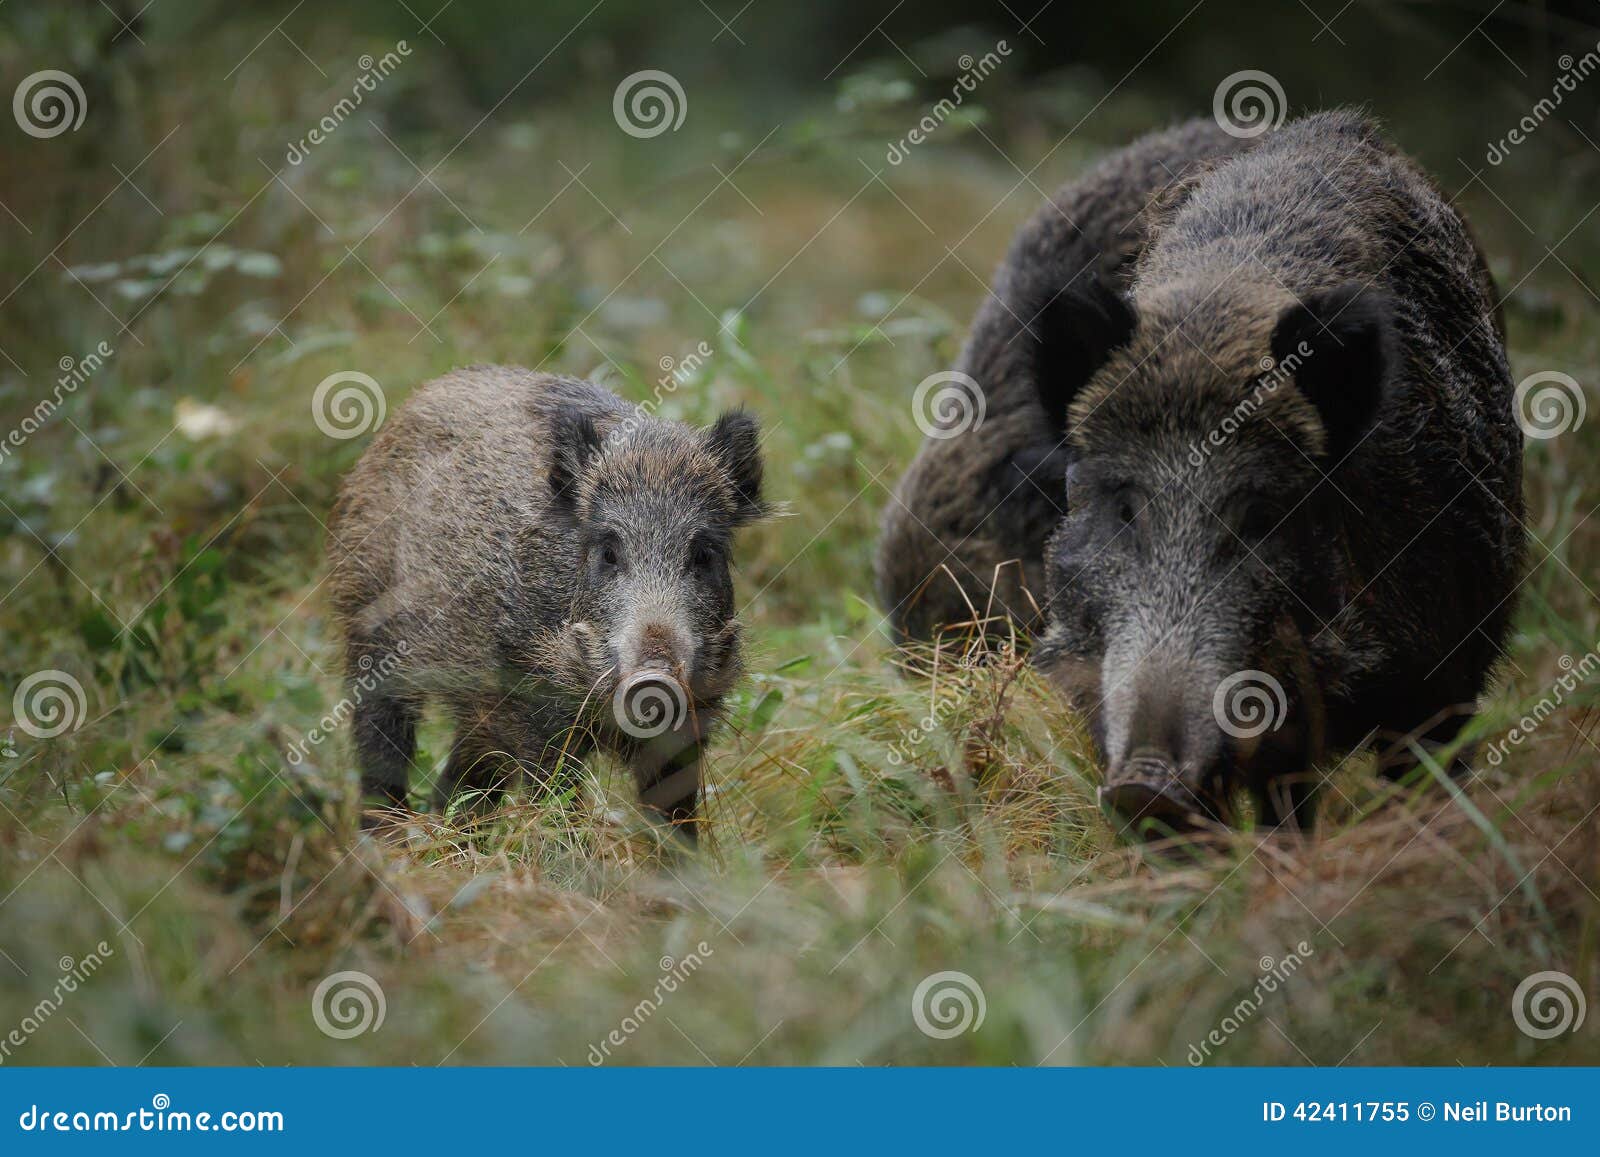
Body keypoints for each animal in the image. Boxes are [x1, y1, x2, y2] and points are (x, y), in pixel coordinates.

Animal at [326, 366, 765, 842]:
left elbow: (677, 815)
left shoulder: (694, 718)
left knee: (462, 778)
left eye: (704, 553)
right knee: (380, 741)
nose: (656, 674)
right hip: (367, 620)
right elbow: (555, 797)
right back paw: (384, 841)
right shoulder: (531, 701)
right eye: (608, 552)